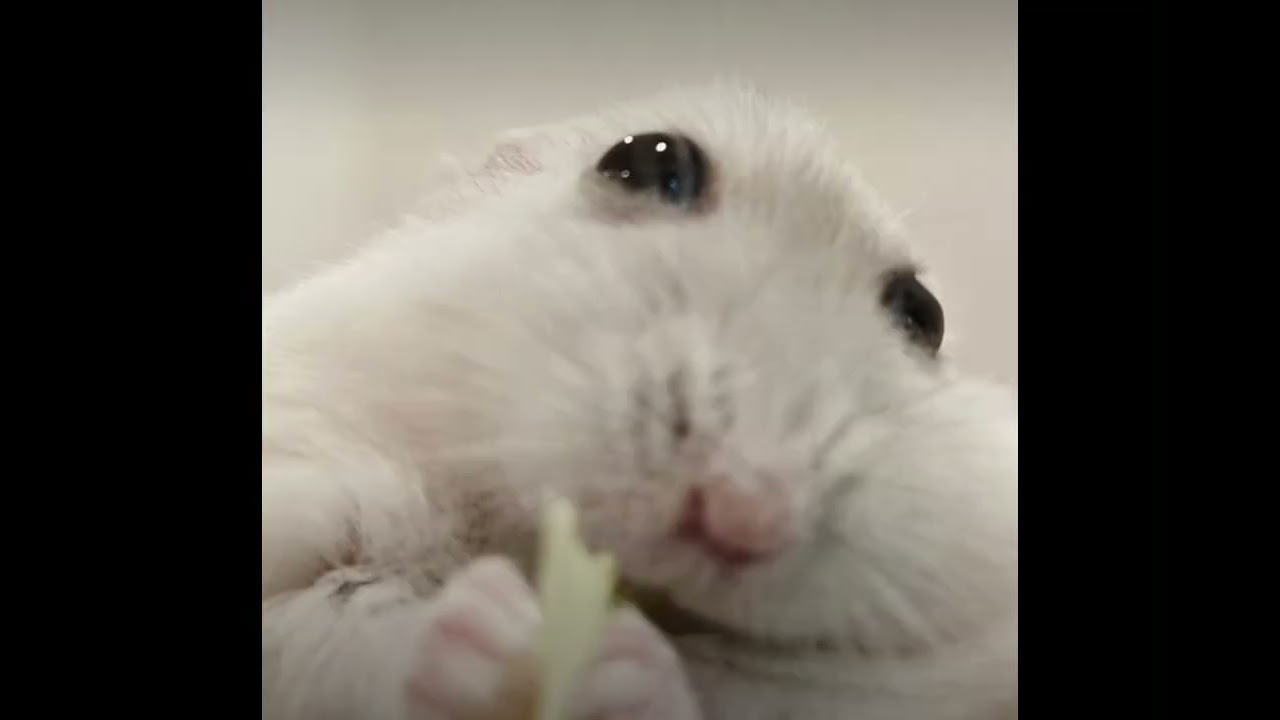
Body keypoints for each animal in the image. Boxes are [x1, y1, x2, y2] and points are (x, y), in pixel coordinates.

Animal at [261, 82, 1018, 720]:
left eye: (923, 316)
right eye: (645, 163)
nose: (746, 515)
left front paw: (623, 666)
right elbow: (335, 632)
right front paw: (495, 632)